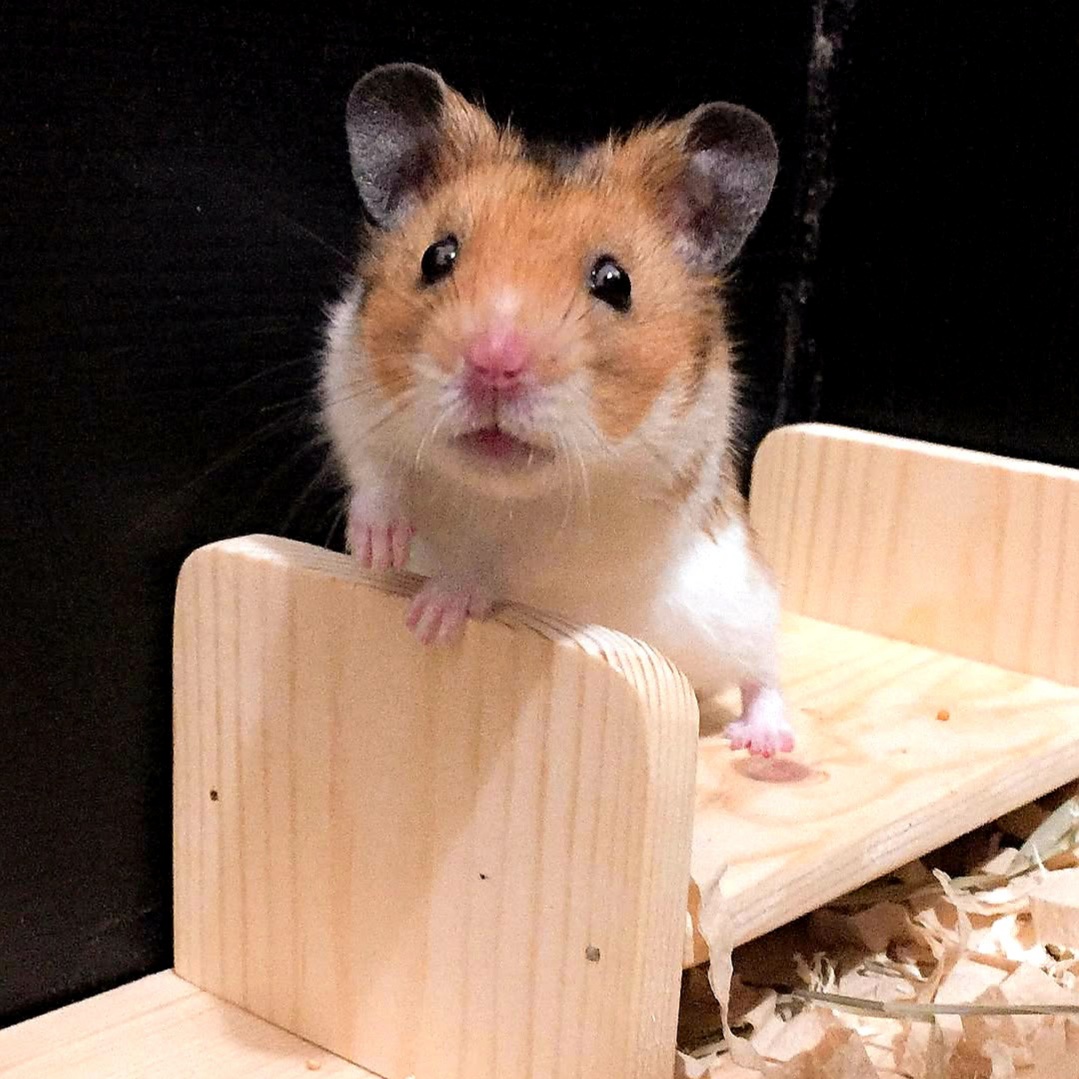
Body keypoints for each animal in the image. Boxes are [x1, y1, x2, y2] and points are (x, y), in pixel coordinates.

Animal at [320, 63, 794, 757]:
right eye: (438, 256)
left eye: (615, 282)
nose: (494, 364)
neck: (494, 493)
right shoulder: (348, 389)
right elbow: (376, 475)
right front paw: (375, 552)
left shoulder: (600, 522)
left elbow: (504, 563)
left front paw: (432, 617)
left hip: (745, 606)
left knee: (765, 673)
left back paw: (766, 745)